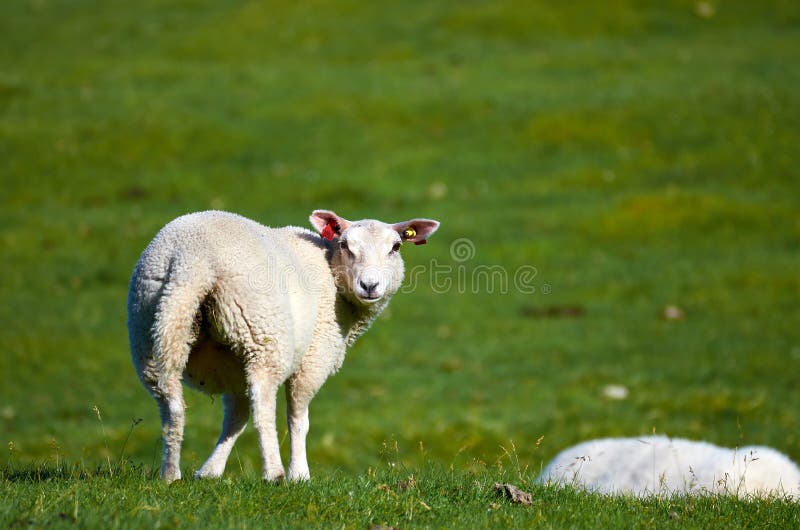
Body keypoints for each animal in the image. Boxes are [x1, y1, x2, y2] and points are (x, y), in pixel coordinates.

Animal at [127, 209, 440, 482]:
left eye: (396, 247)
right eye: (345, 245)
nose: (370, 285)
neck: (330, 265)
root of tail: (192, 259)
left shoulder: (231, 364)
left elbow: (236, 417)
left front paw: (210, 472)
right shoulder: (314, 357)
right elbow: (297, 418)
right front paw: (300, 475)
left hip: (151, 327)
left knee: (169, 401)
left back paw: (170, 474)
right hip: (262, 331)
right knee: (263, 402)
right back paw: (274, 473)